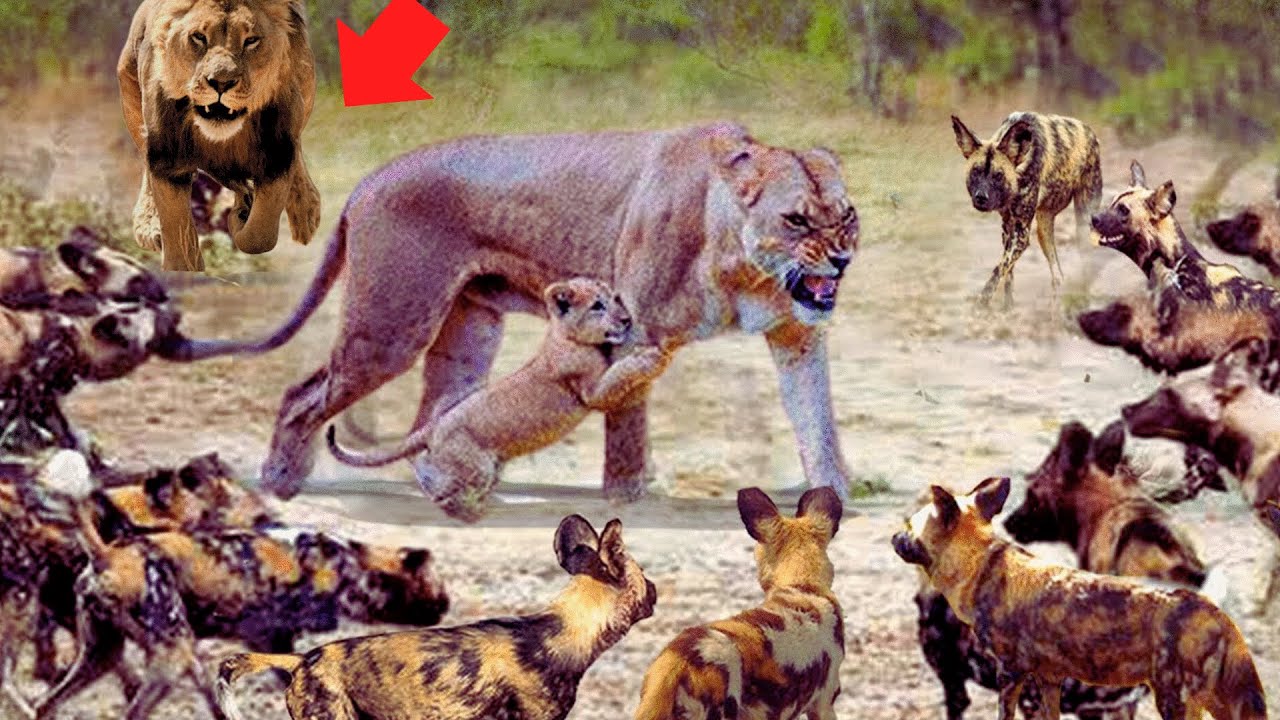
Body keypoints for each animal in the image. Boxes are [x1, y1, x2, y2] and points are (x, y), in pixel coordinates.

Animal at [118, 0, 322, 271]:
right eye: (199, 37)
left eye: (251, 40)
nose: (221, 83)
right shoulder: (167, 163)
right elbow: (179, 245)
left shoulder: (277, 155)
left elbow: (260, 235)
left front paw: (240, 218)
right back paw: (149, 224)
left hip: (305, 85)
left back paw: (304, 209)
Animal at [326, 277, 674, 522]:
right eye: (597, 306)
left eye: (615, 299)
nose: (626, 320)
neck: (564, 335)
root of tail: (436, 424)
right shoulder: (592, 392)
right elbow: (618, 374)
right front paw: (651, 356)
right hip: (476, 465)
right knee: (442, 489)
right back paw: (470, 513)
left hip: (489, 466)